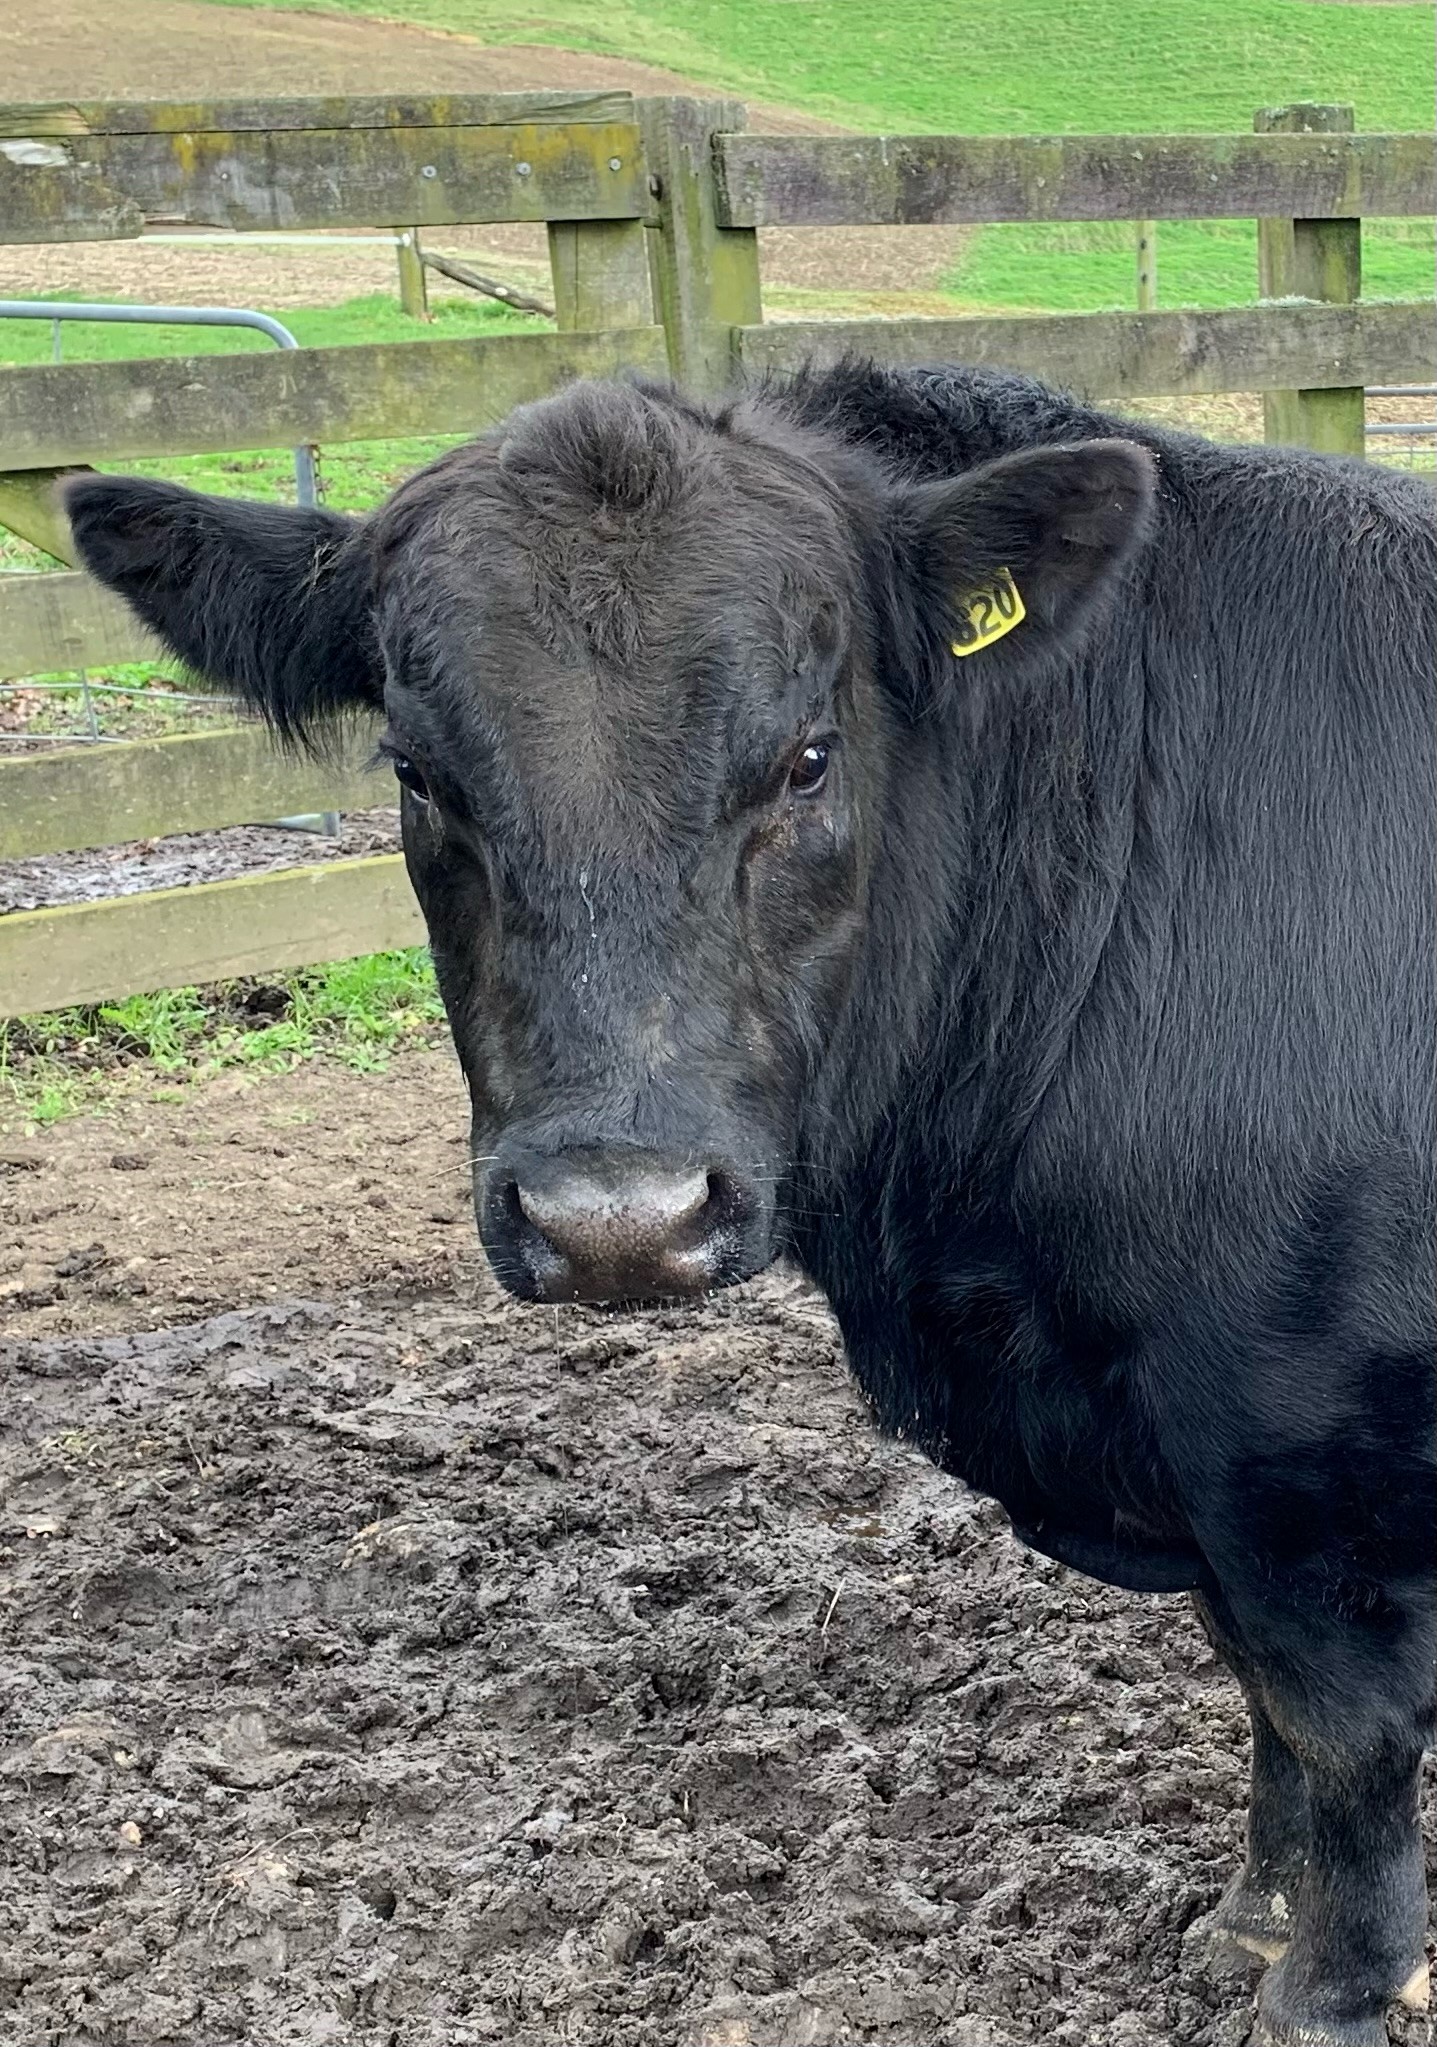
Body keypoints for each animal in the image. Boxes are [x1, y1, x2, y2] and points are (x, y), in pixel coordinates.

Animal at [65, 360, 1435, 2046]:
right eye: (417, 771)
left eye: (808, 755)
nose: (616, 1215)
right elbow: (1259, 1688)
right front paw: (1251, 1917)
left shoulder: (1295, 1430)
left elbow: (1338, 1720)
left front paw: (1326, 1989)